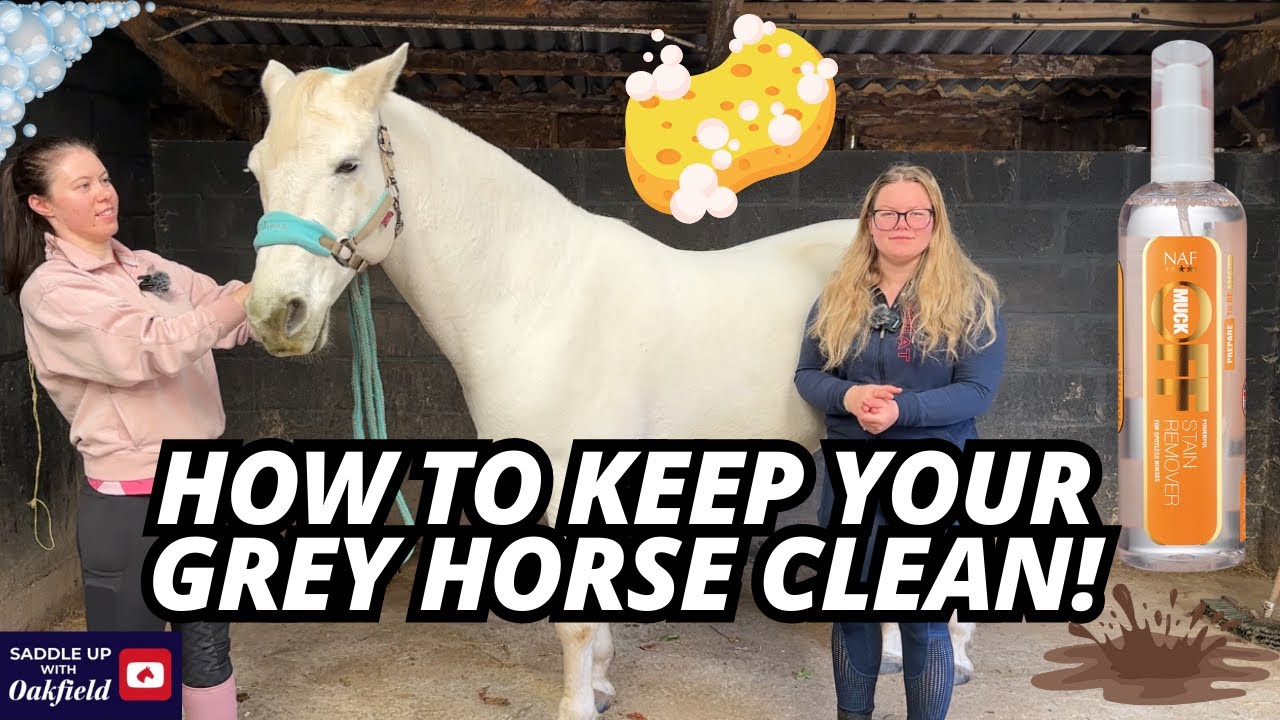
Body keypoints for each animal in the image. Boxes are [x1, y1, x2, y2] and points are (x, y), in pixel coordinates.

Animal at [239, 43, 976, 720]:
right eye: (256, 170)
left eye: (348, 164)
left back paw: (958, 660)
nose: (276, 314)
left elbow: (574, 614)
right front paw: (598, 682)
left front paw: (577, 704)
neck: (539, 295)